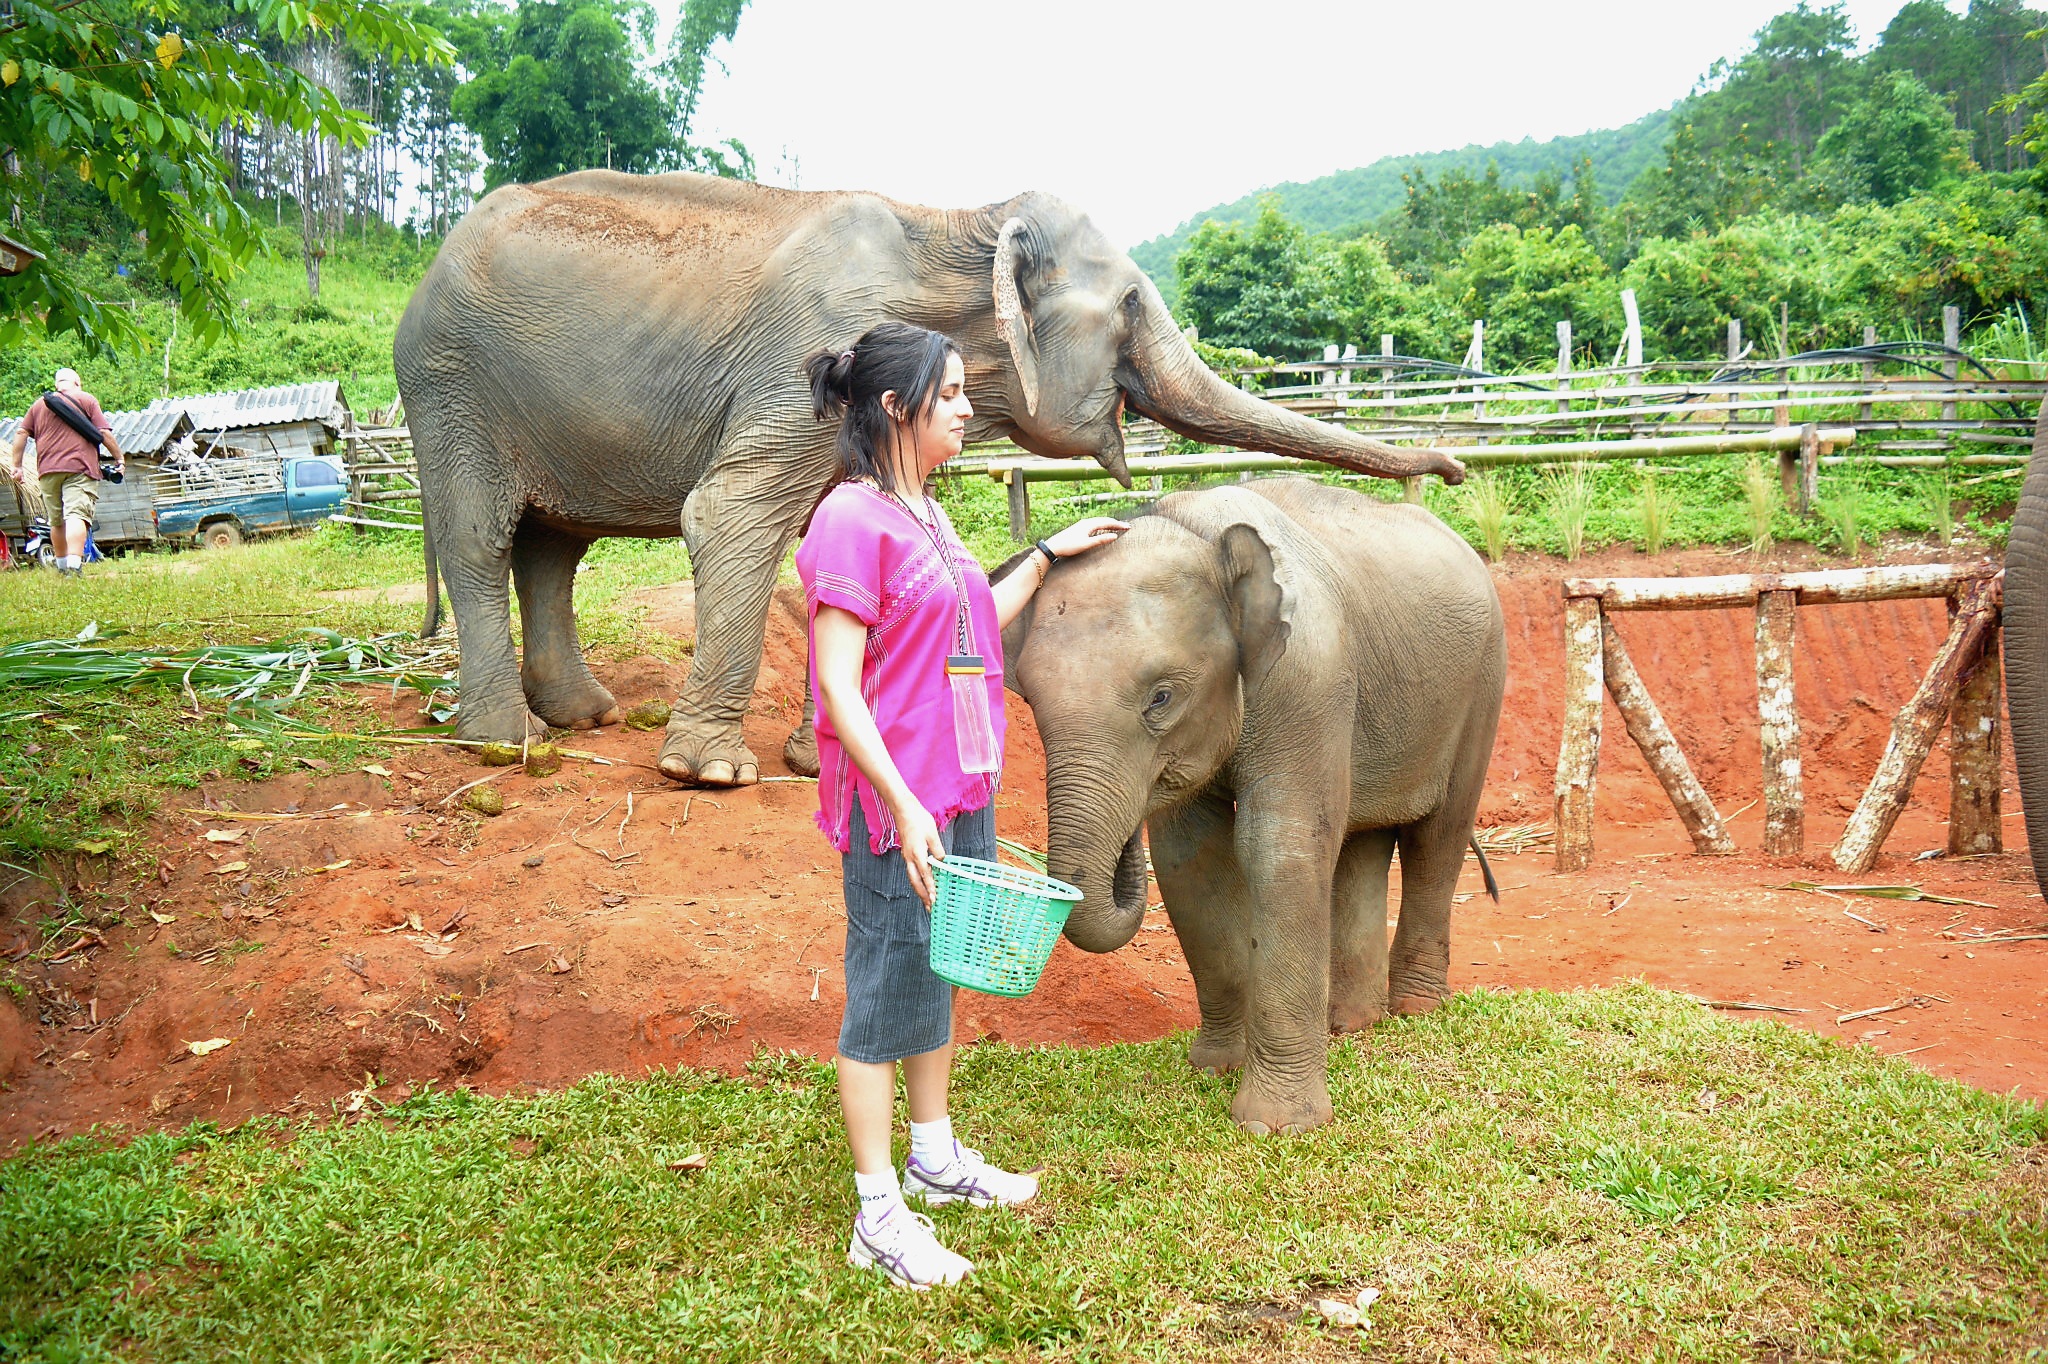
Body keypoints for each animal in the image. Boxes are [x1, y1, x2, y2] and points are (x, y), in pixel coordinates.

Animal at [393, 170, 1468, 785]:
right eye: (1129, 305)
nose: (1452, 468)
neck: (959, 225)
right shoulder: (805, 360)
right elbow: (729, 512)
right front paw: (715, 775)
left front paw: (810, 758)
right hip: (451, 387)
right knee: (485, 538)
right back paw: (502, 745)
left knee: (553, 547)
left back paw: (584, 717)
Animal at [1001, 477, 1507, 1135]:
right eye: (1030, 700)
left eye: (1161, 698)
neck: (1195, 528)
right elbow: (1190, 861)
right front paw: (1216, 1067)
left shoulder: (1310, 676)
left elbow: (1279, 847)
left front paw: (1278, 1126)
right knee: (1361, 841)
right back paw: (1351, 1024)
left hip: (1484, 682)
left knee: (1437, 838)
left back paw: (1415, 1009)